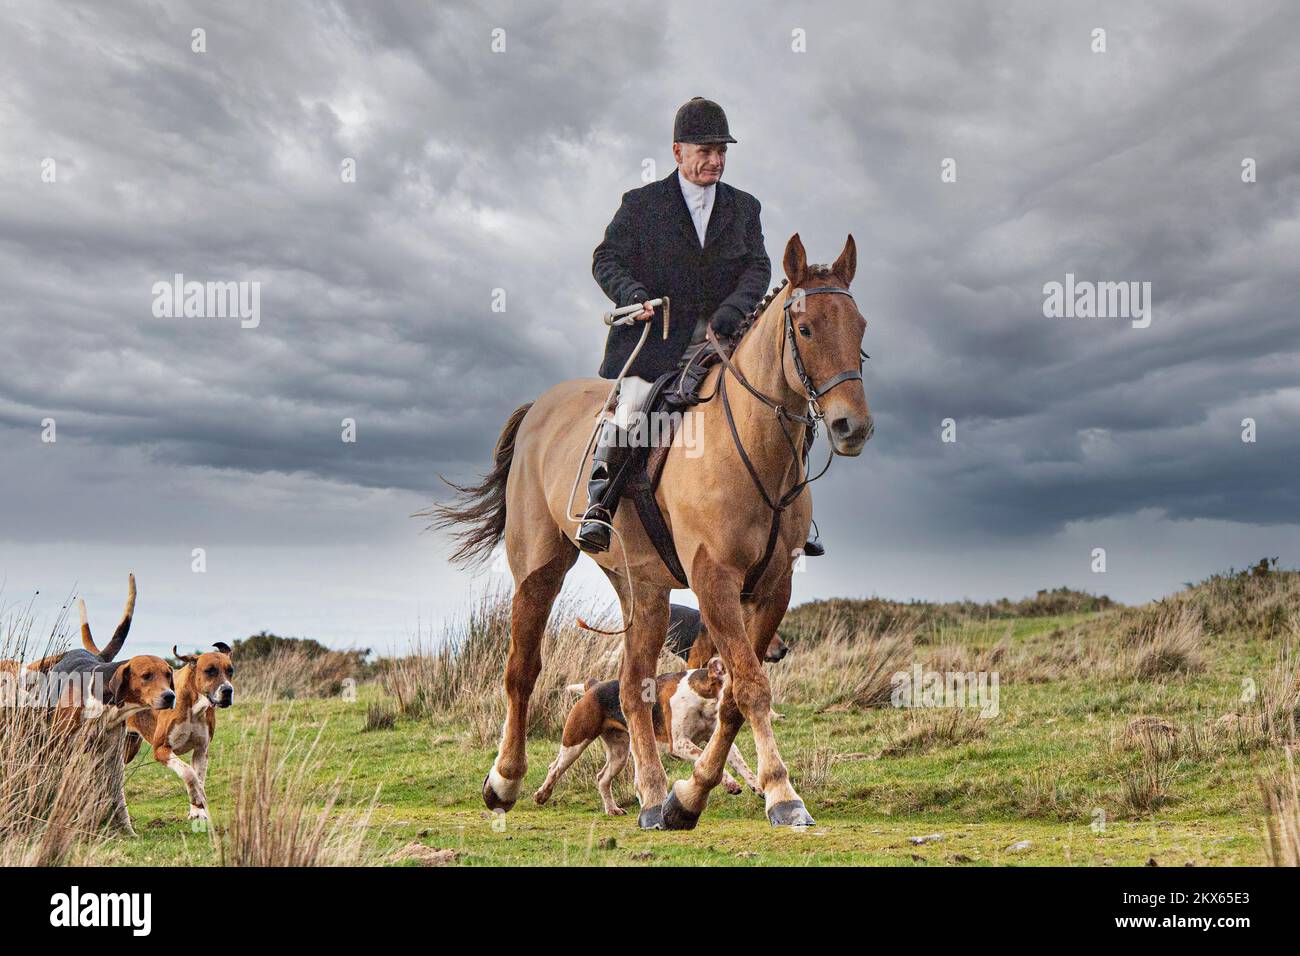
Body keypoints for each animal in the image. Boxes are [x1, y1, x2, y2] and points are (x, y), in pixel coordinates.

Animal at [429, 233, 872, 829]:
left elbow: (732, 695)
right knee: (522, 668)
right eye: (804, 329)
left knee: (632, 682)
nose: (853, 427)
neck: (754, 448)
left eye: (861, 328)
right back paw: (506, 780)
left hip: (642, 586)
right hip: (540, 568)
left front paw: (689, 796)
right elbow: (751, 686)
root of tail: (539, 408)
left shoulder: (772, 586)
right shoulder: (714, 577)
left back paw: (652, 793)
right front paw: (782, 794)